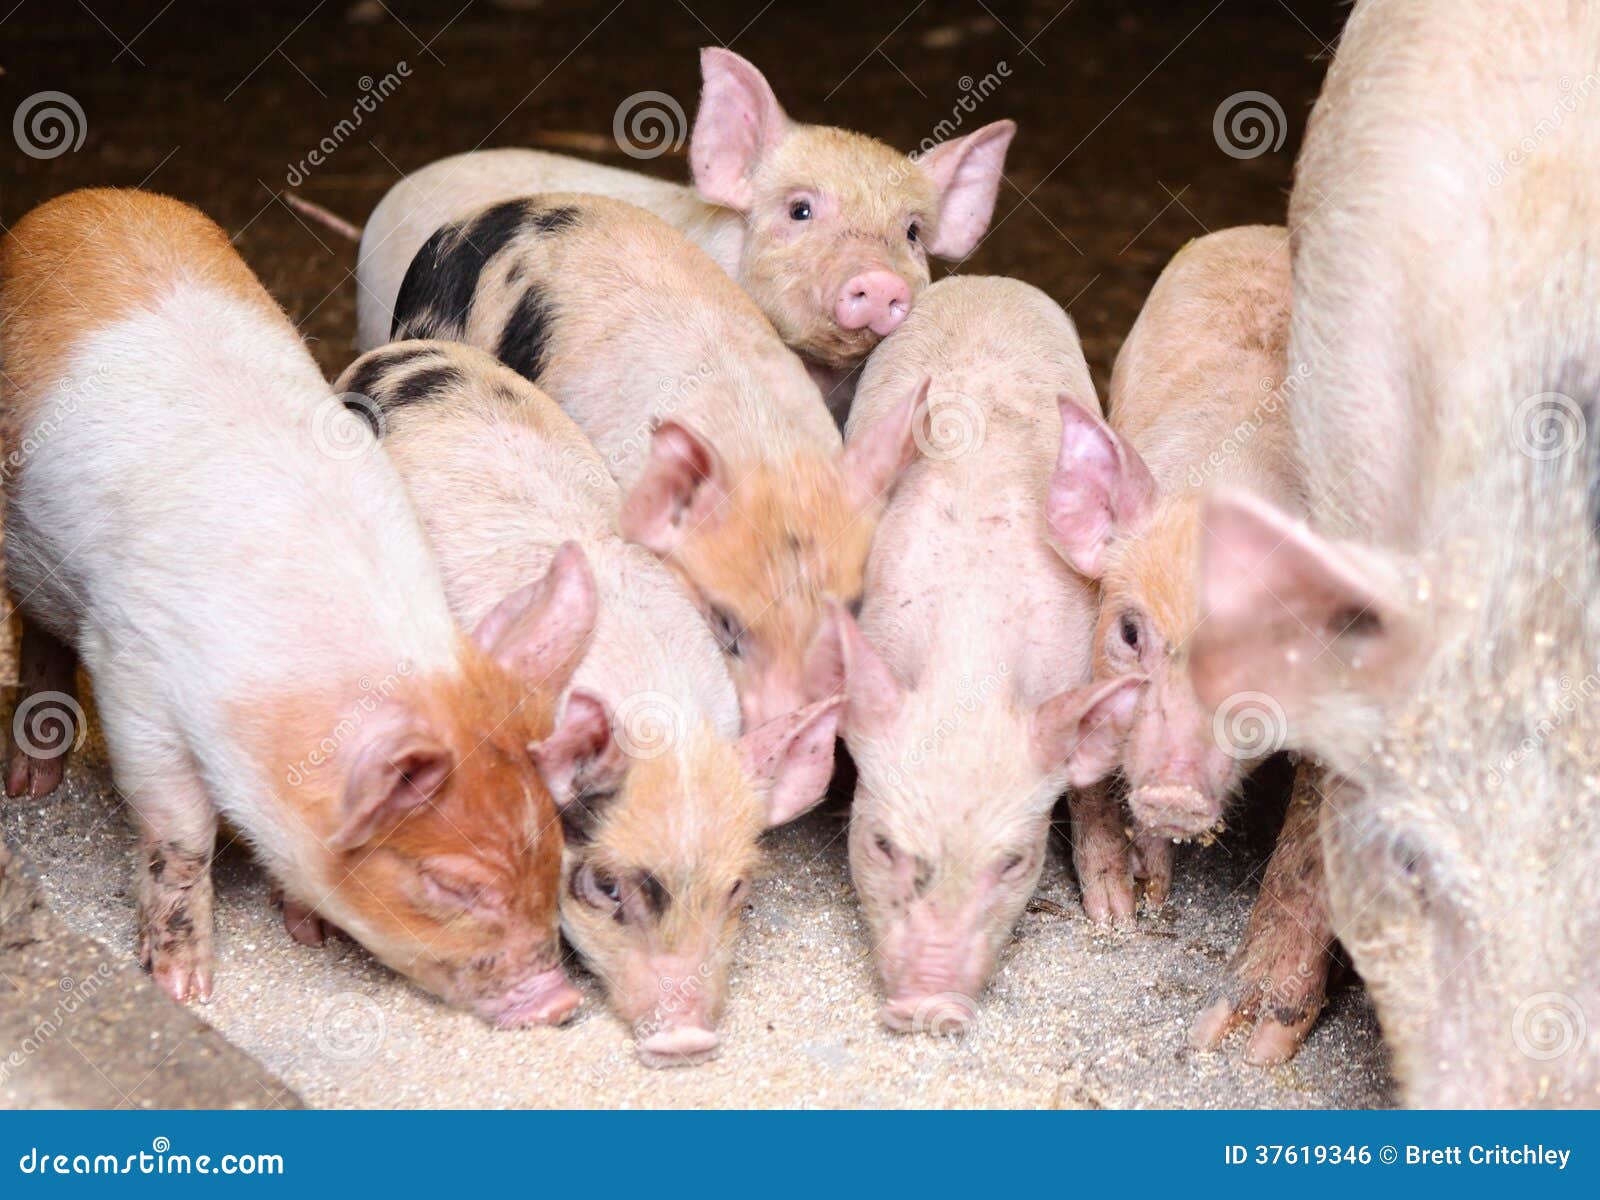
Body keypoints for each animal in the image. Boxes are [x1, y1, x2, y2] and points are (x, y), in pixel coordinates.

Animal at [0, 189, 591, 1026]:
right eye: (447, 883)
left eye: (551, 844)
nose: (560, 1004)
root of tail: (82, 201)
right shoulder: (133, 678)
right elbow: (180, 836)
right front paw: (185, 992)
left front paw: (309, 931)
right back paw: (30, 784)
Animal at [812, 277, 1147, 1030]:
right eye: (880, 844)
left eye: (1015, 863)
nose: (929, 1006)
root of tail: (985, 280)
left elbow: (1087, 788)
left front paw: (1116, 920)